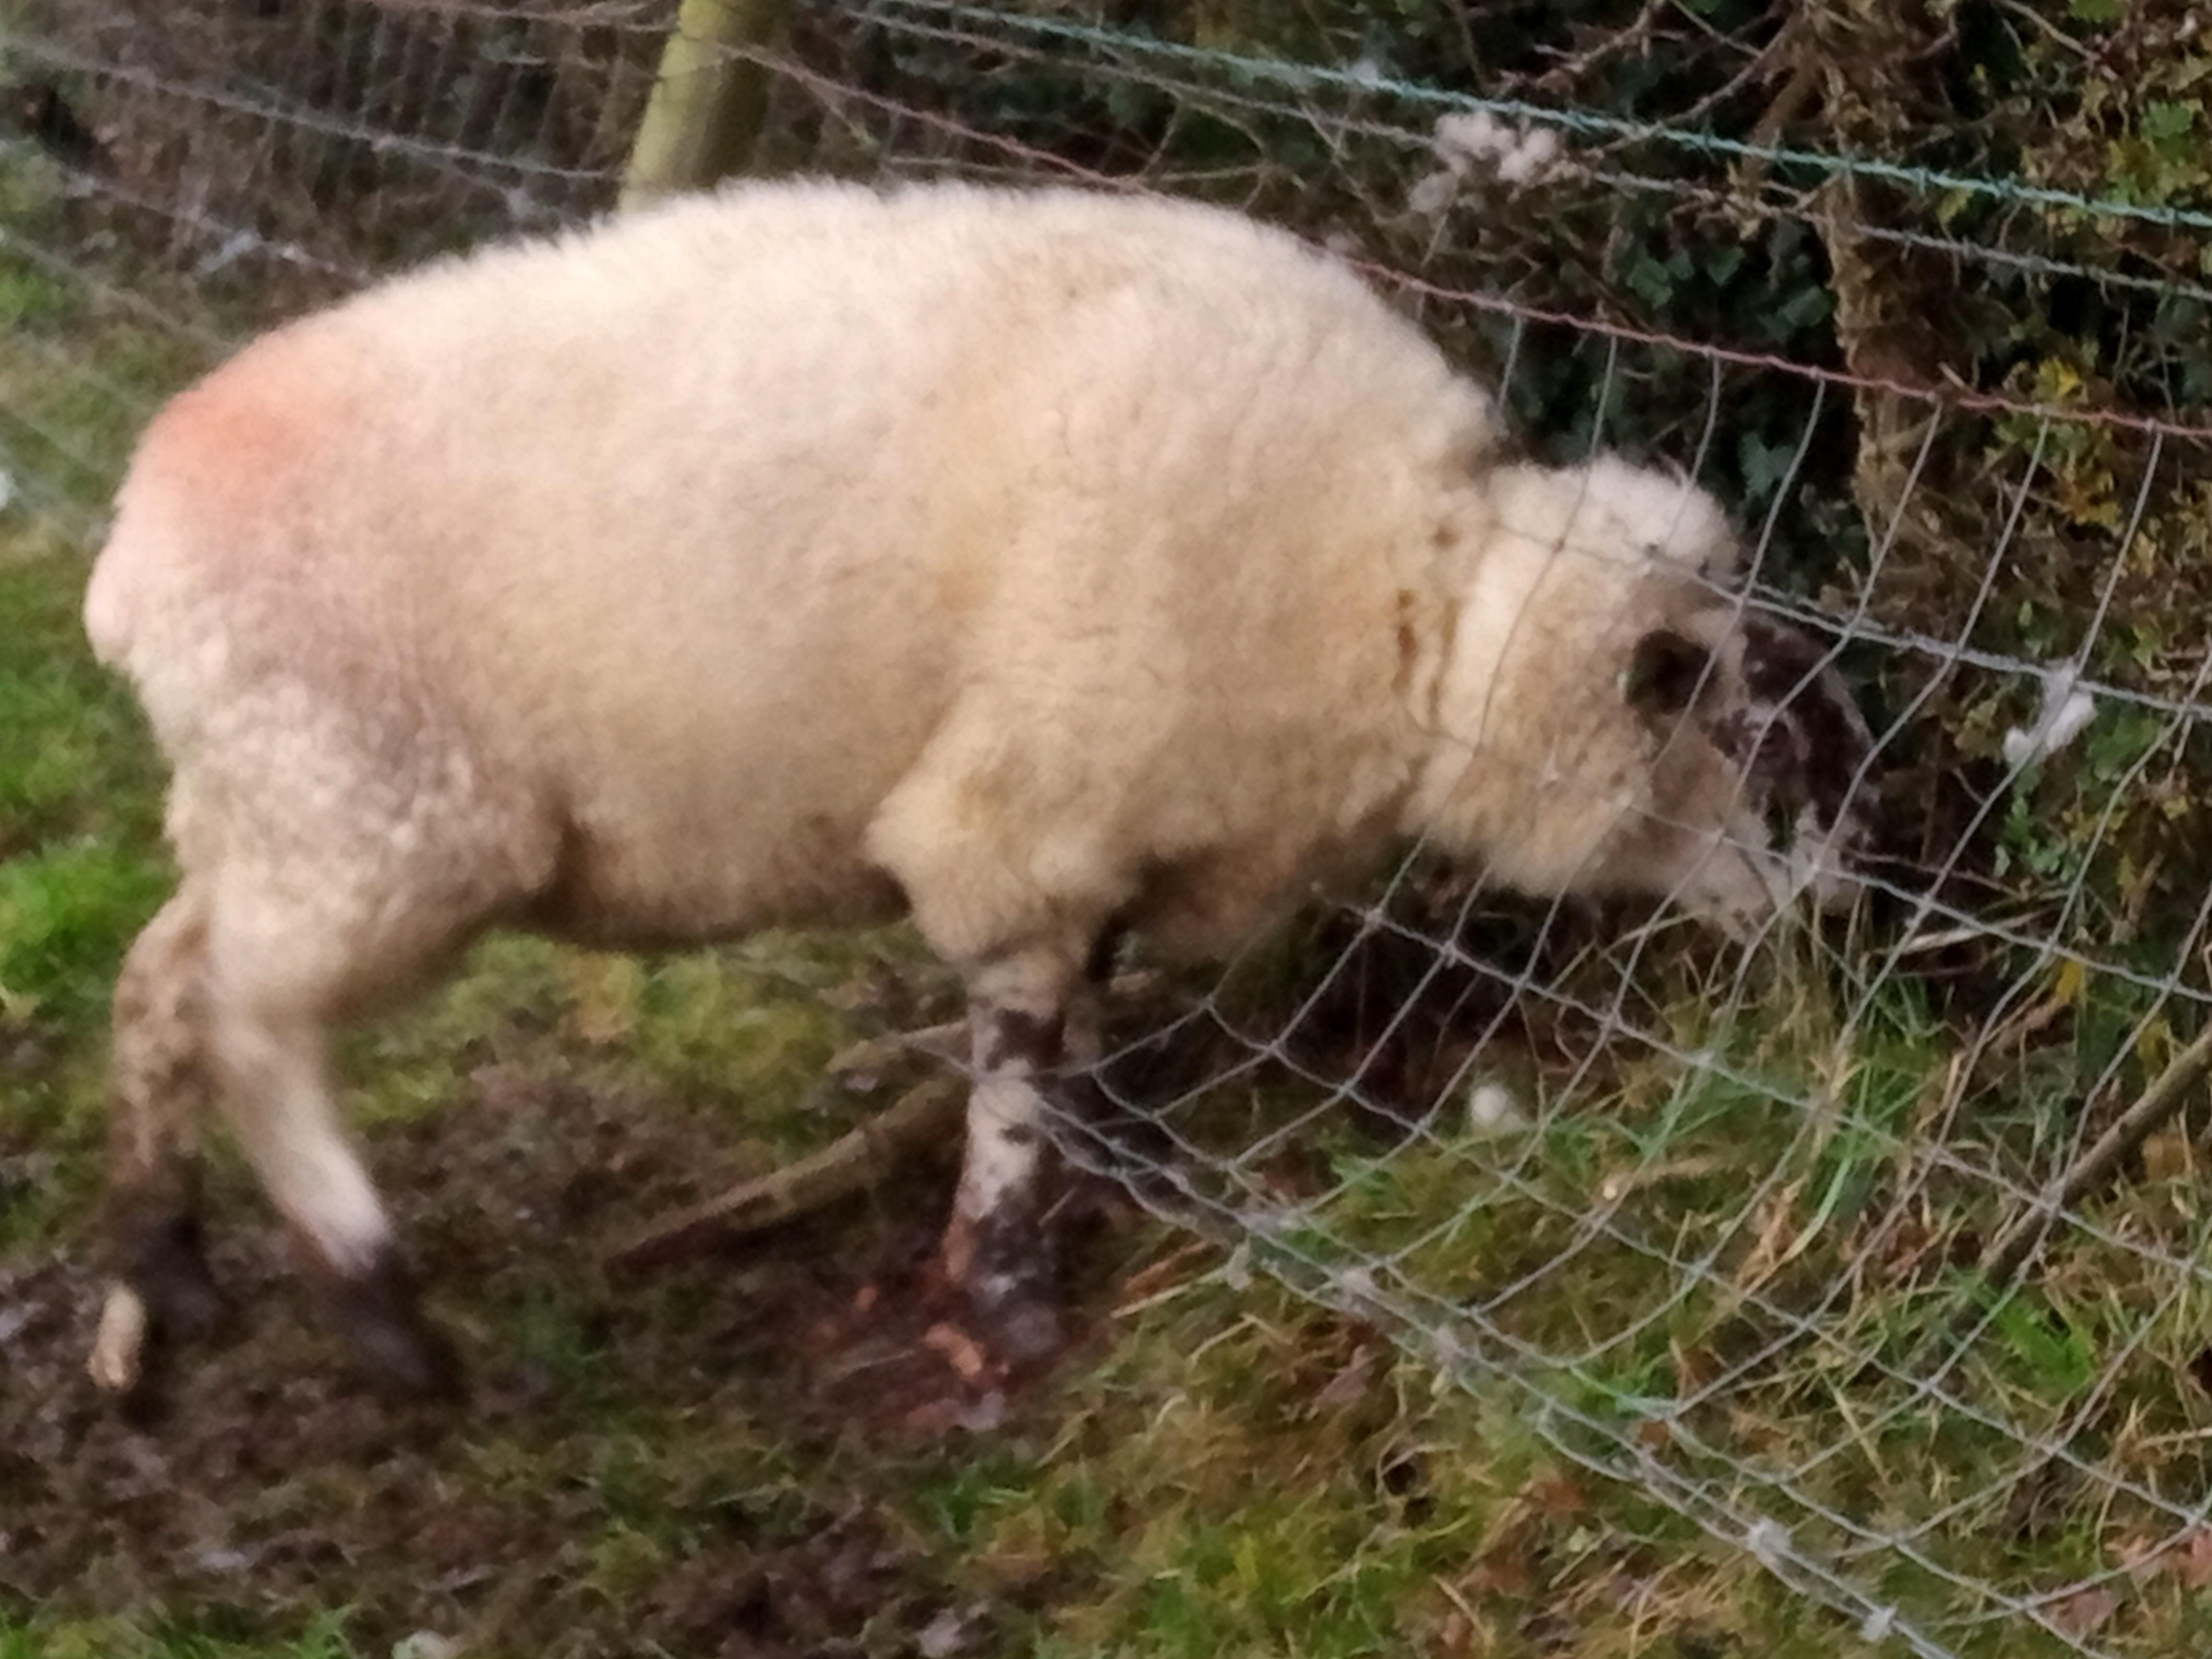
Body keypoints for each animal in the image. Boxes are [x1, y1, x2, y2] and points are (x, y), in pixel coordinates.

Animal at [81, 176, 1876, 1399]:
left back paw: (163, 1267)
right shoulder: (1024, 810)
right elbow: (1017, 1046)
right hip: (396, 810)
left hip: (281, 799)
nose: (1847, 923)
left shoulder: (1118, 834)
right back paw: (373, 1304)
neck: (1416, 602)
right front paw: (1004, 1285)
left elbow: (1073, 1022)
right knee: (251, 1017)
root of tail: (133, 554)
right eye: (1763, 744)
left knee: (162, 974)